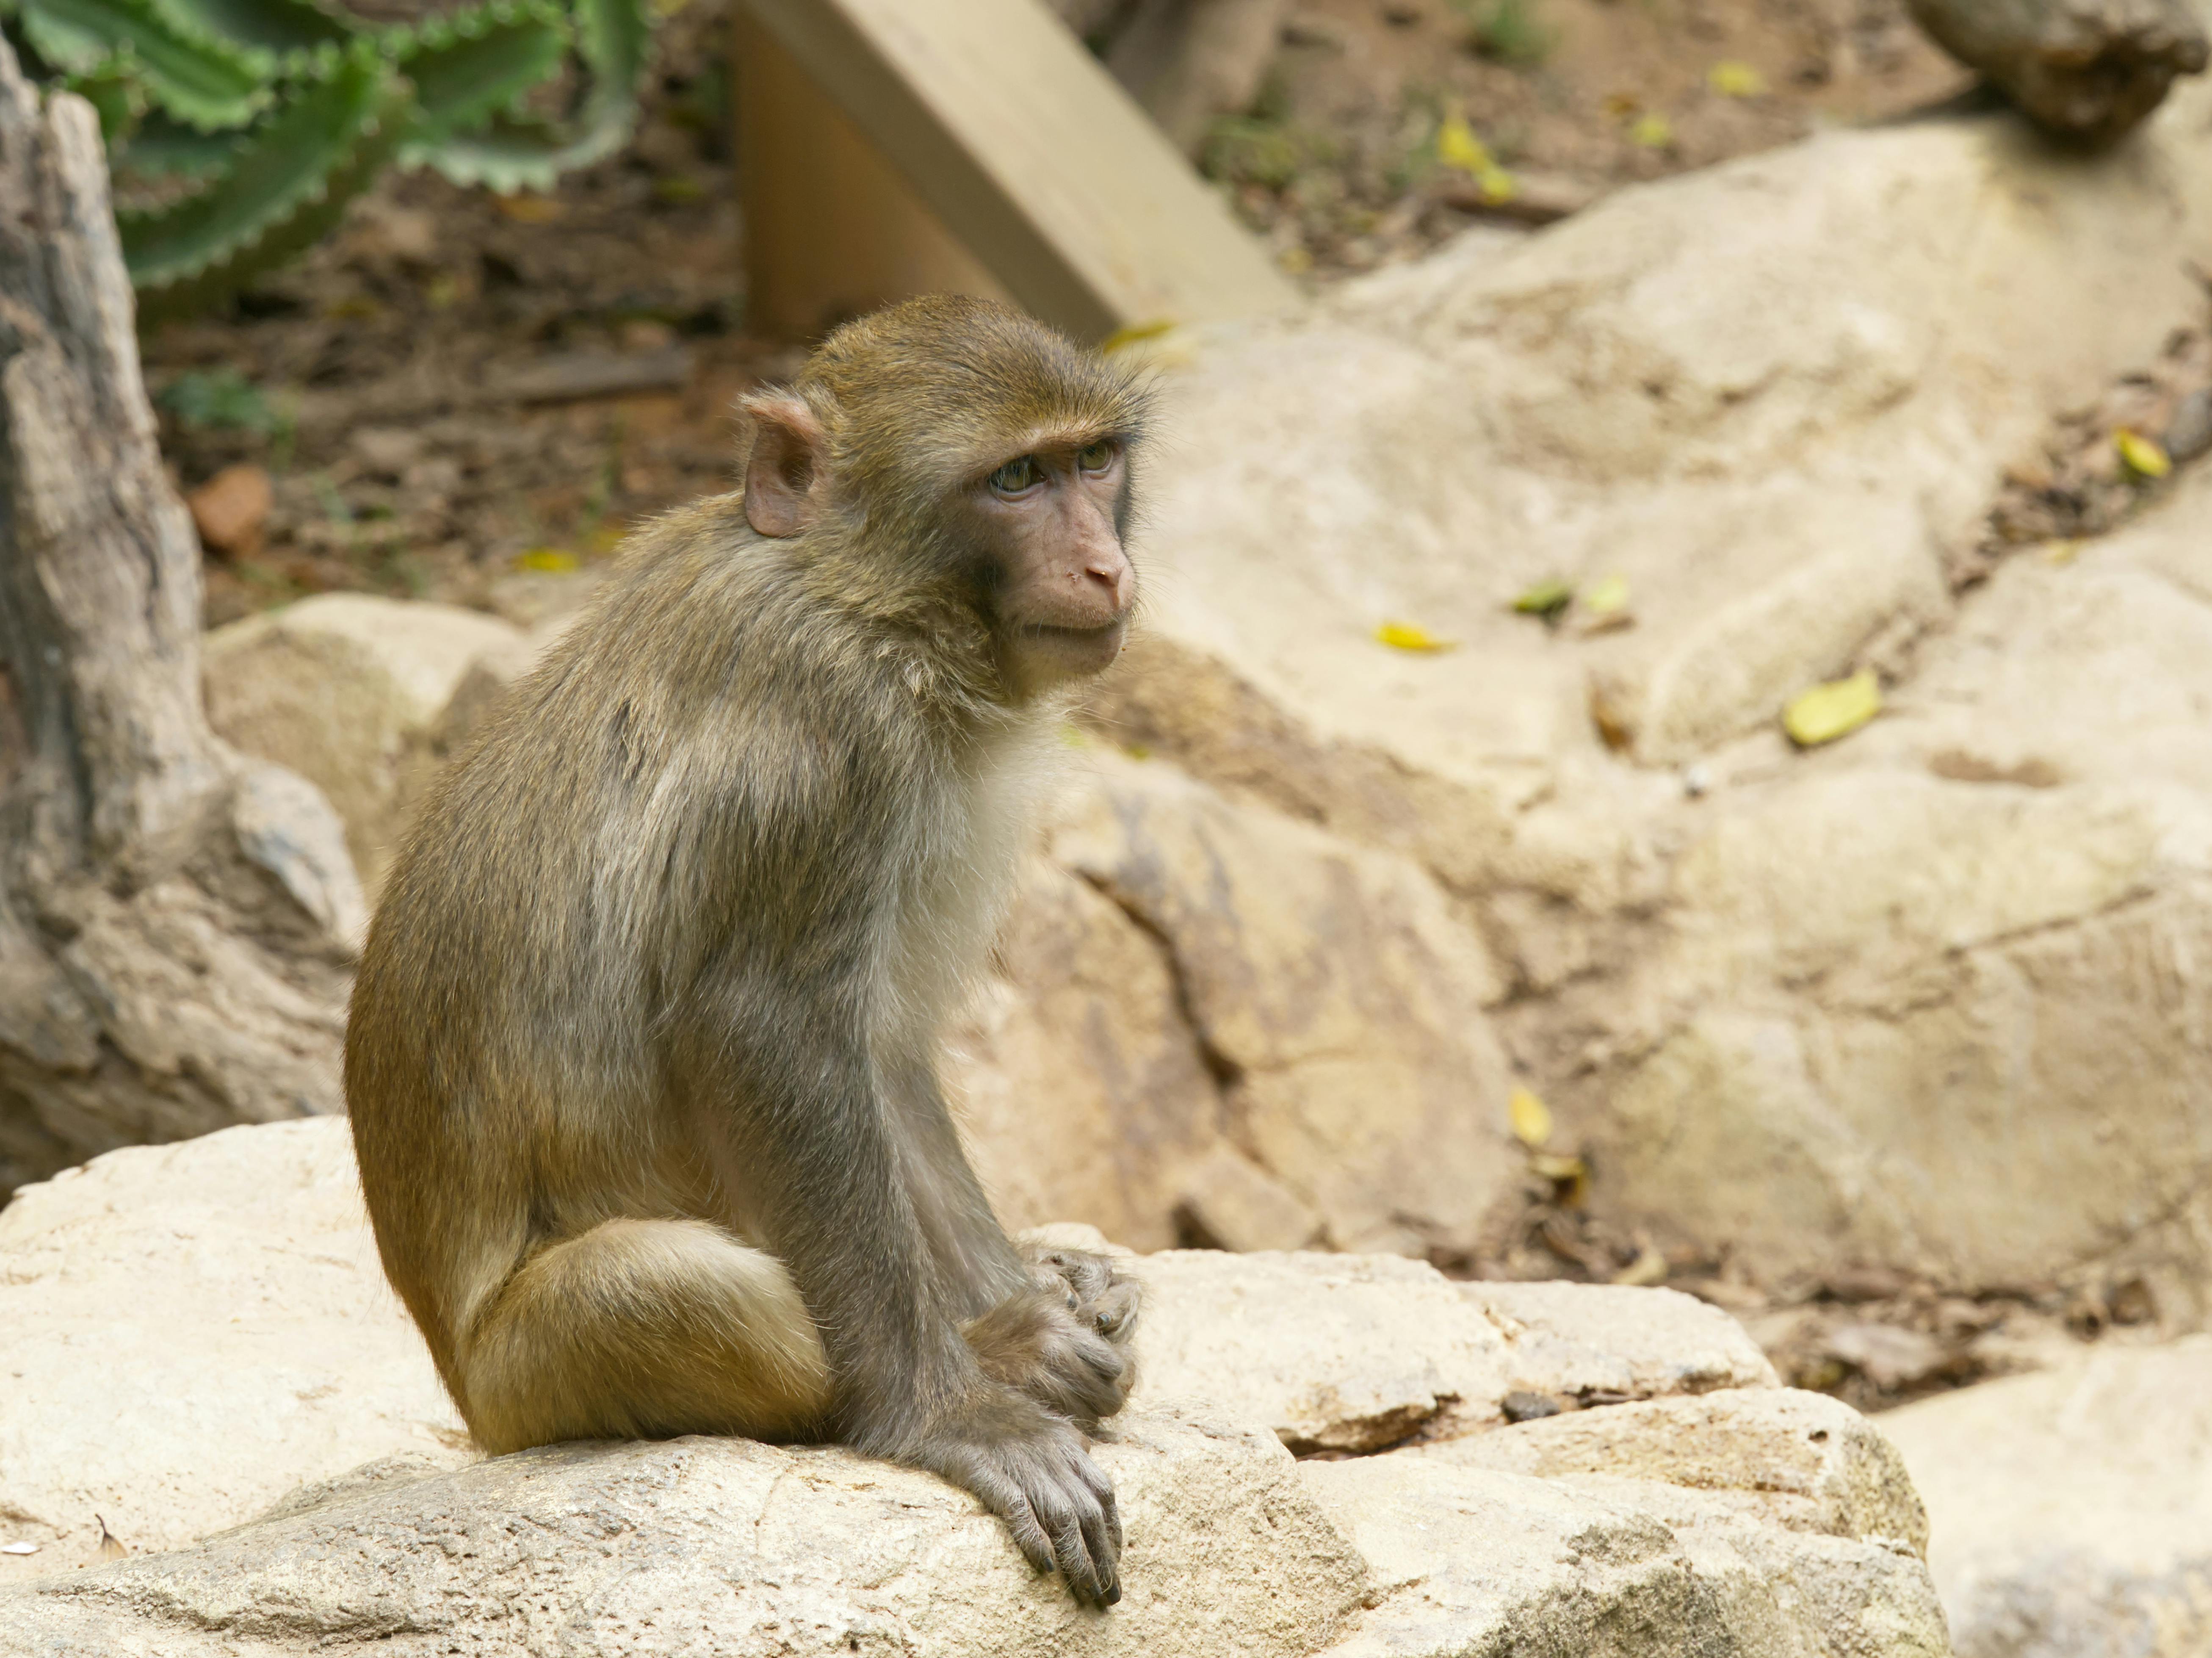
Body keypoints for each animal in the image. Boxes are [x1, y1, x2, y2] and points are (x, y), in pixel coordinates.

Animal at [344, 296, 1150, 1607]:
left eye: (1094, 463)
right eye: (1015, 480)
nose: (1105, 567)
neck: (864, 598)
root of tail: (469, 1406)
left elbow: (879, 1053)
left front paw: (1025, 1306)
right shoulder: (825, 742)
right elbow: (765, 1030)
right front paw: (952, 1407)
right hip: (535, 1372)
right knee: (694, 1285)